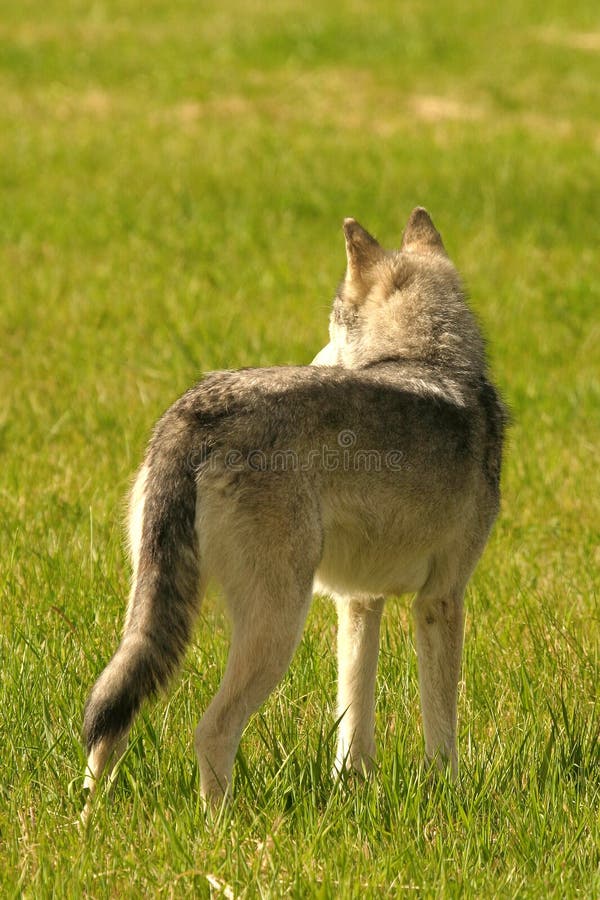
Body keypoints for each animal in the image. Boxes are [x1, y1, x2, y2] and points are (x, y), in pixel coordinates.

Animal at [82, 208, 506, 816]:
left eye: (330, 330)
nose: (313, 363)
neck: (431, 360)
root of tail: (193, 409)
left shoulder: (360, 604)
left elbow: (354, 729)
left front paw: (355, 793)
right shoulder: (440, 600)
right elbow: (441, 728)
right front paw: (448, 797)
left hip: (154, 618)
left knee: (110, 722)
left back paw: (88, 821)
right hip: (279, 625)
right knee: (211, 731)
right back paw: (222, 829)